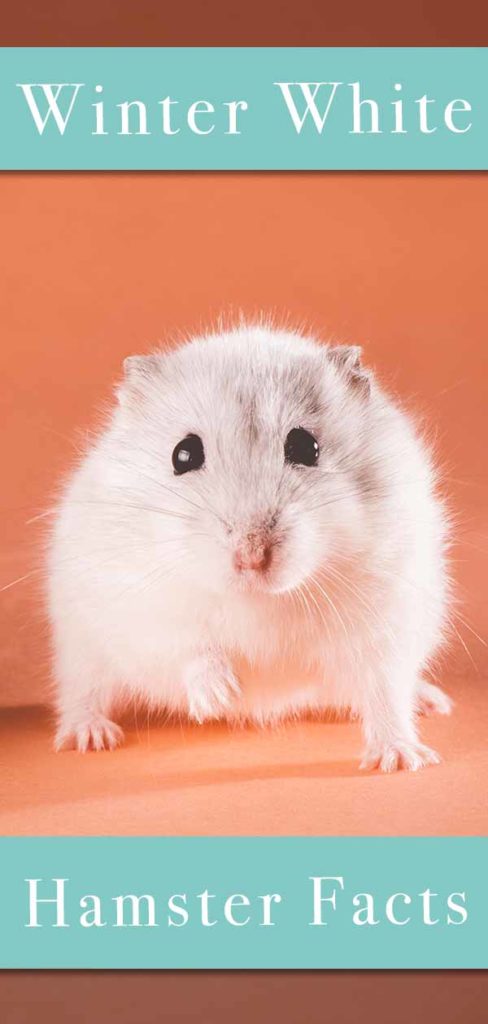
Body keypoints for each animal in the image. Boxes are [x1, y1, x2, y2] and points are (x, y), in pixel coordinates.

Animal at [47, 324, 452, 770]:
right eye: (183, 454)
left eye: (305, 446)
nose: (252, 557)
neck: (257, 600)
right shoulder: (141, 606)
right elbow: (191, 647)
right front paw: (222, 698)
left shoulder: (386, 623)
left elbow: (385, 693)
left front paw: (401, 760)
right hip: (81, 647)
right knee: (83, 692)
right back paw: (90, 737)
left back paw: (434, 703)